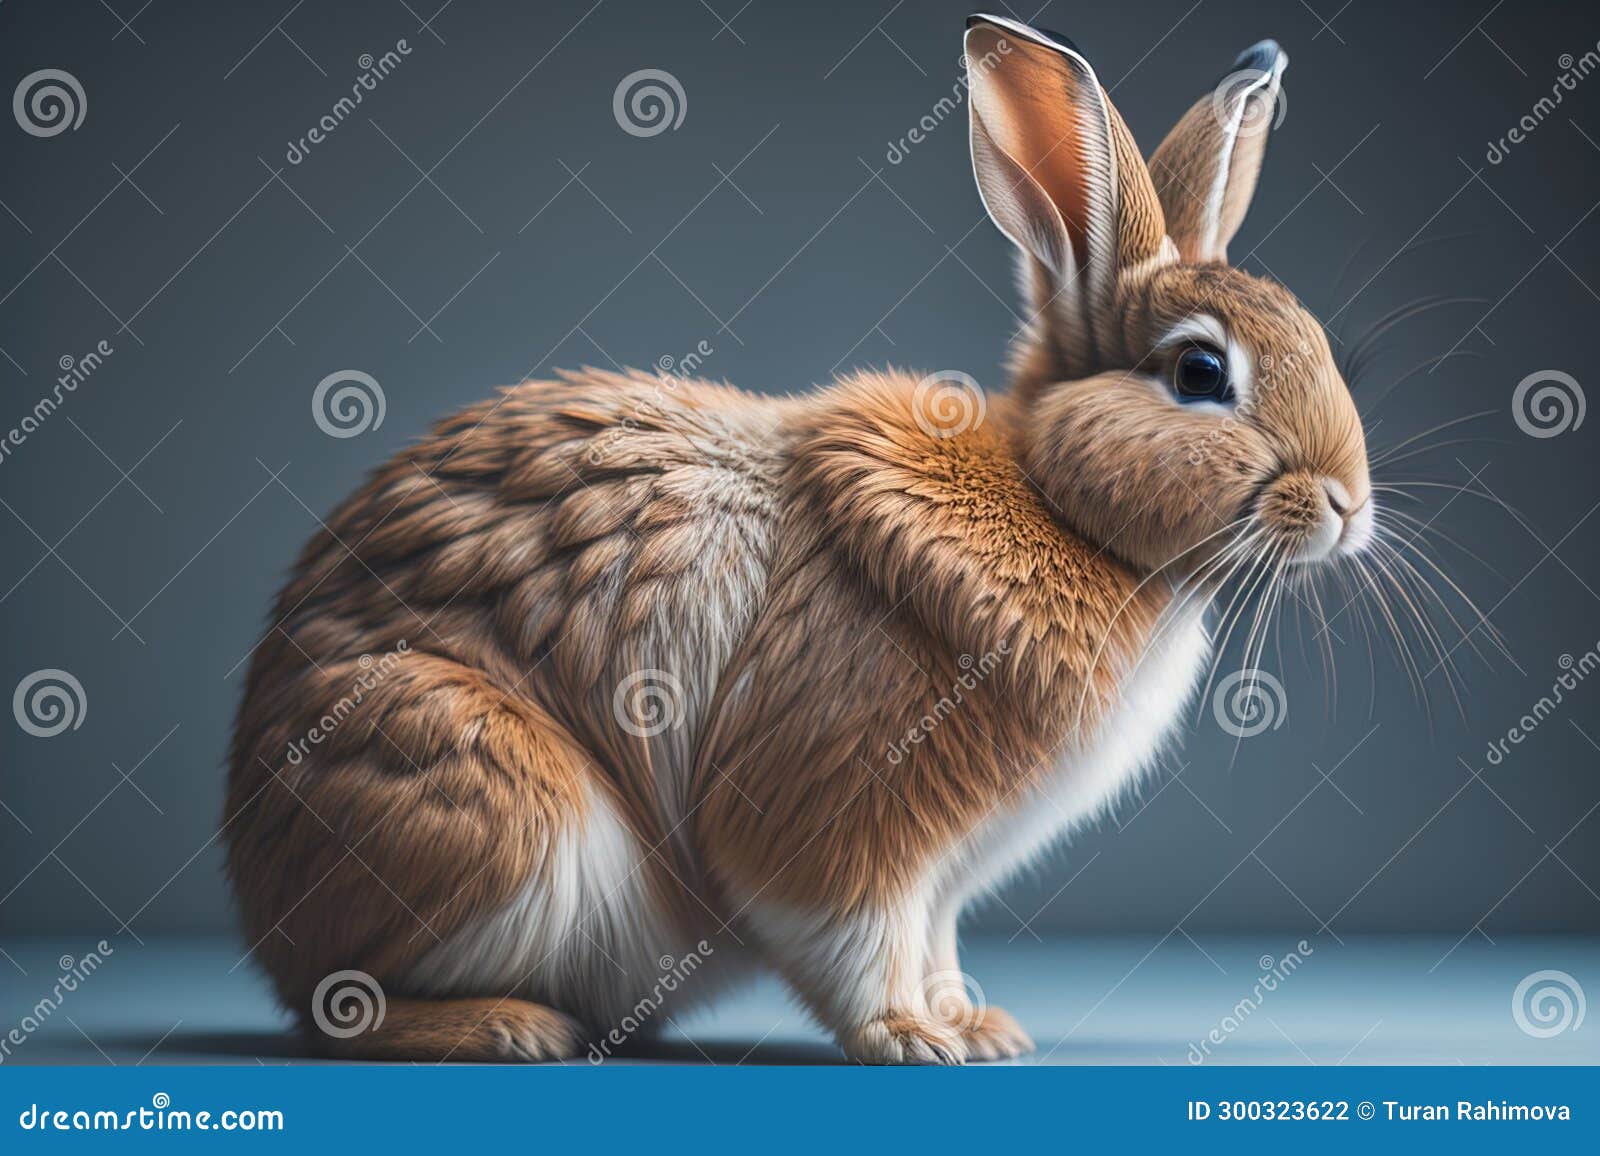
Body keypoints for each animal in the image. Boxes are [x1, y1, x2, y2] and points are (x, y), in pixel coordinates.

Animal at [225, 13, 1373, 1065]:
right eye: (1198, 373)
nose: (1349, 506)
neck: (1054, 498)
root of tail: (258, 882)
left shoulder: (942, 879)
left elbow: (933, 940)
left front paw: (977, 1028)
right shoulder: (839, 817)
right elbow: (846, 931)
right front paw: (910, 1040)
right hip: (490, 804)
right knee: (339, 1009)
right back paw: (508, 1026)